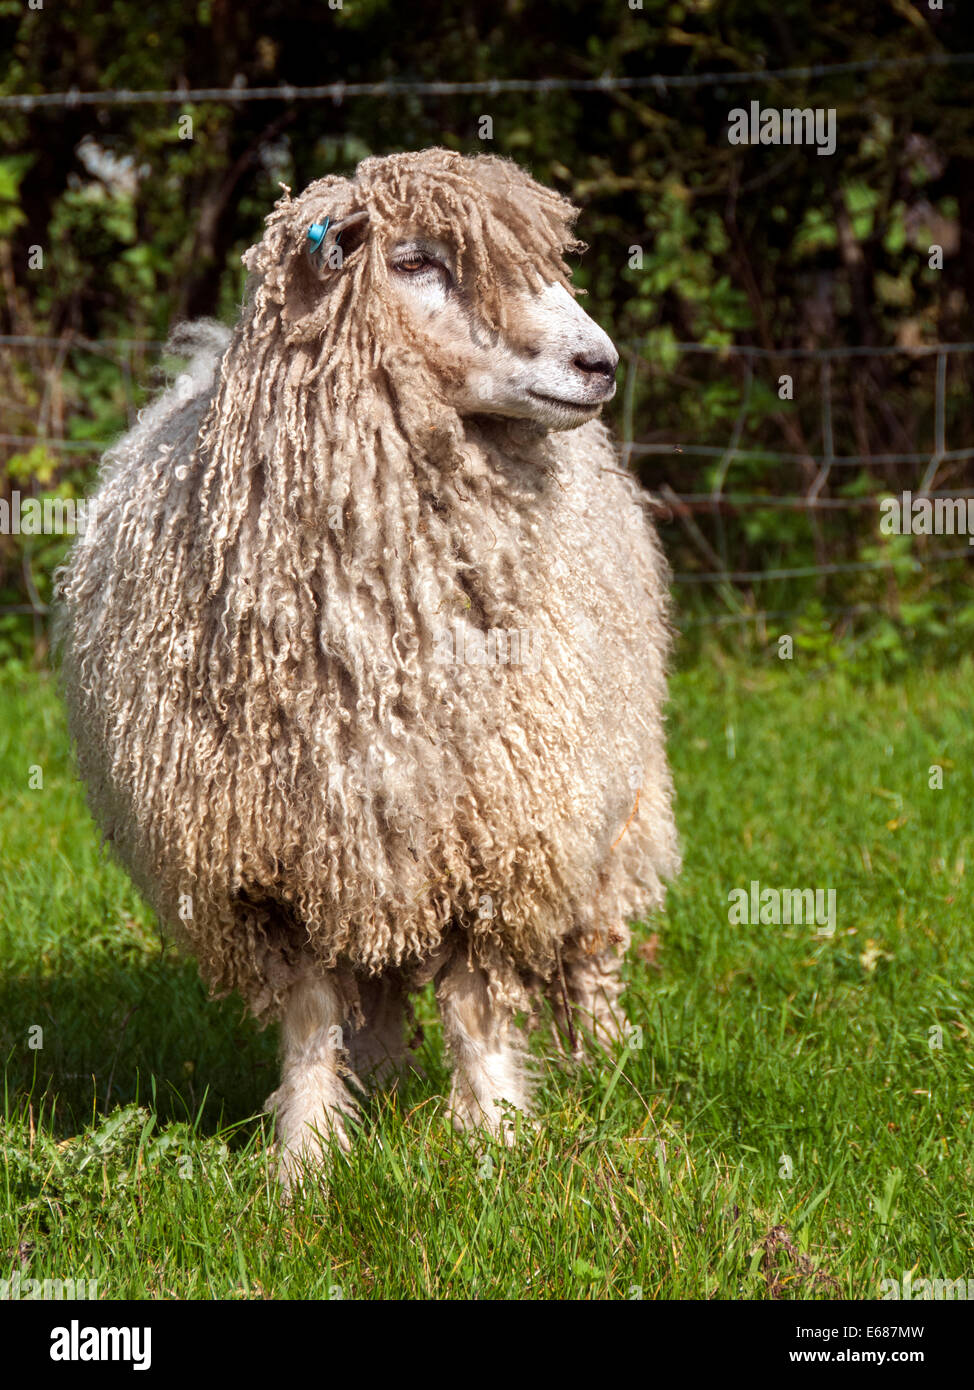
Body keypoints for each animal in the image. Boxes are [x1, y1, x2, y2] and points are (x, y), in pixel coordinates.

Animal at [56, 148, 681, 1185]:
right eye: (417, 260)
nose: (599, 364)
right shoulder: (270, 859)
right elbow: (311, 1014)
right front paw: (306, 1159)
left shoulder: (502, 830)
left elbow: (476, 1003)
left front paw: (493, 1141)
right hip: (373, 840)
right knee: (376, 976)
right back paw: (381, 1080)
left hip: (609, 807)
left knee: (591, 944)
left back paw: (607, 1057)